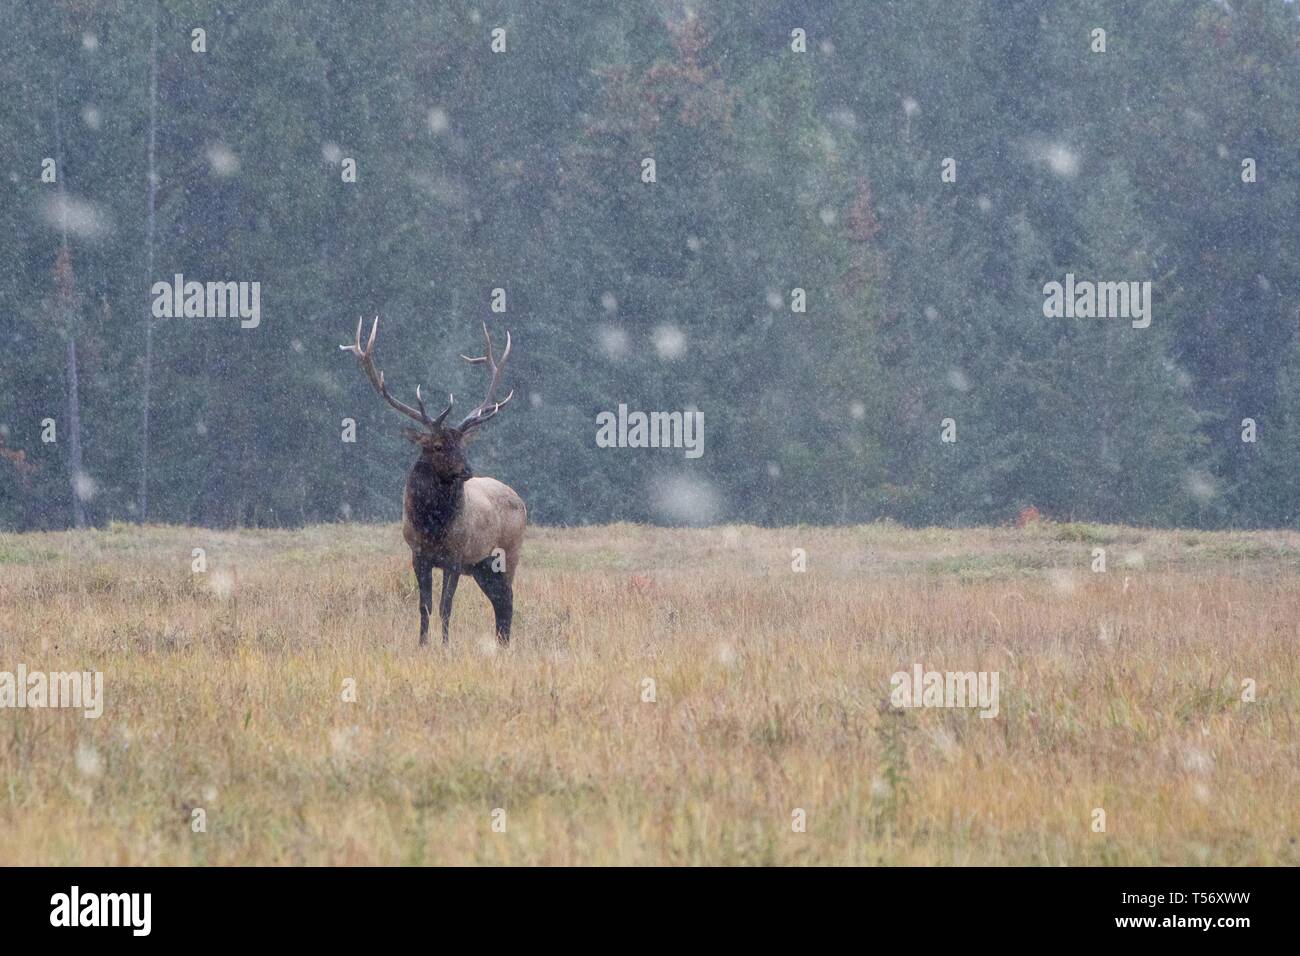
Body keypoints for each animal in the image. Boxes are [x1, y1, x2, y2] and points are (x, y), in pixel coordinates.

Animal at [341, 317, 526, 647]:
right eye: (438, 446)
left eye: (462, 444)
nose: (467, 470)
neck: (432, 526)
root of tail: (521, 500)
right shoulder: (418, 555)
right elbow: (424, 605)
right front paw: (423, 644)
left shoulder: (455, 556)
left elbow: (445, 606)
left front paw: (445, 645)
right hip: (481, 567)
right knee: (500, 600)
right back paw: (501, 643)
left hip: (507, 555)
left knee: (507, 599)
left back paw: (504, 643)